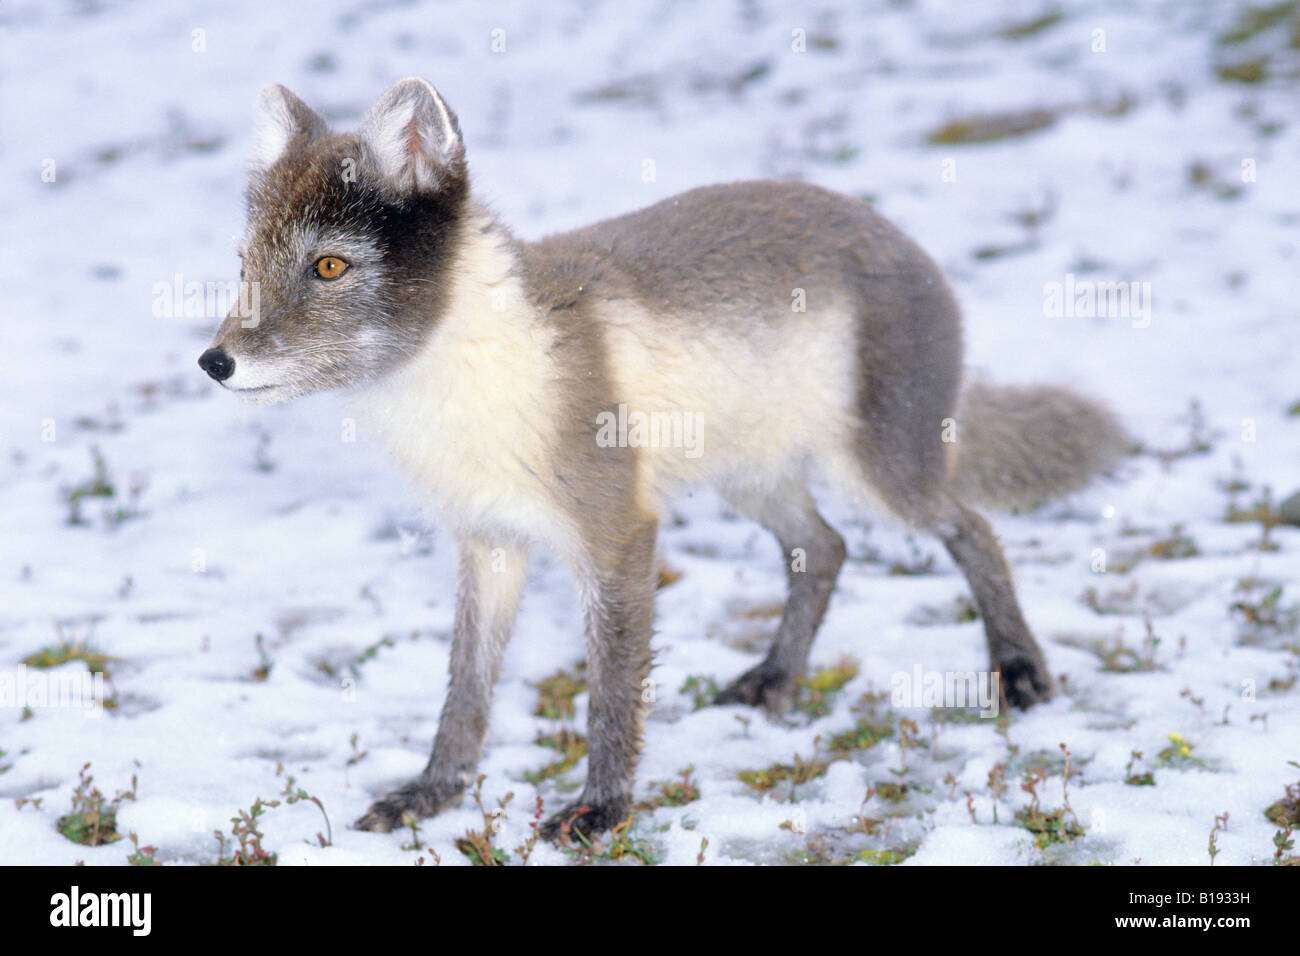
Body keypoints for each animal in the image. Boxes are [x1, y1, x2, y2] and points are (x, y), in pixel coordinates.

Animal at [199, 77, 1128, 840]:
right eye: (244, 266)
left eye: (328, 266)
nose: (215, 363)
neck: (467, 377)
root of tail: (897, 232)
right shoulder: (489, 542)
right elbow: (465, 689)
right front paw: (434, 792)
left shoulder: (619, 533)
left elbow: (612, 691)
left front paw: (602, 809)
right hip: (752, 479)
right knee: (826, 548)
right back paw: (777, 681)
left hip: (884, 475)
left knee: (971, 529)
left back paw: (1020, 670)